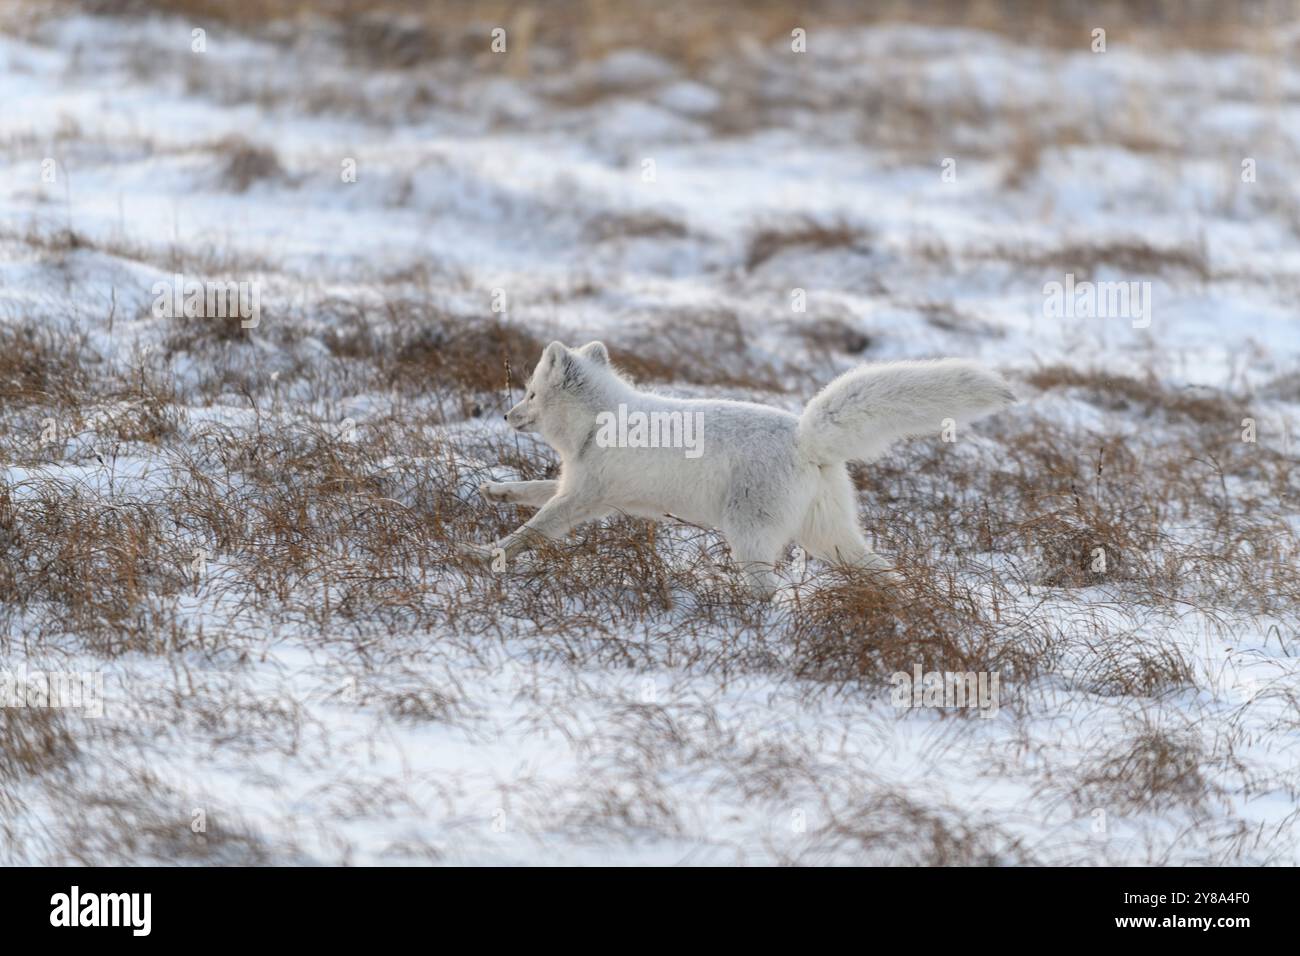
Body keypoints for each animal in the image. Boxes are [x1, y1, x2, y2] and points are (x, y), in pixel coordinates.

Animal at [472, 340, 1014, 594]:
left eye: (530, 394)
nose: (506, 415)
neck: (600, 422)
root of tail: (803, 438)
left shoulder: (580, 498)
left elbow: (530, 529)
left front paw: (484, 554)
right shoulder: (588, 492)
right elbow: (532, 489)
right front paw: (494, 491)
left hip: (749, 534)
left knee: (769, 591)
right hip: (831, 537)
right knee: (877, 566)